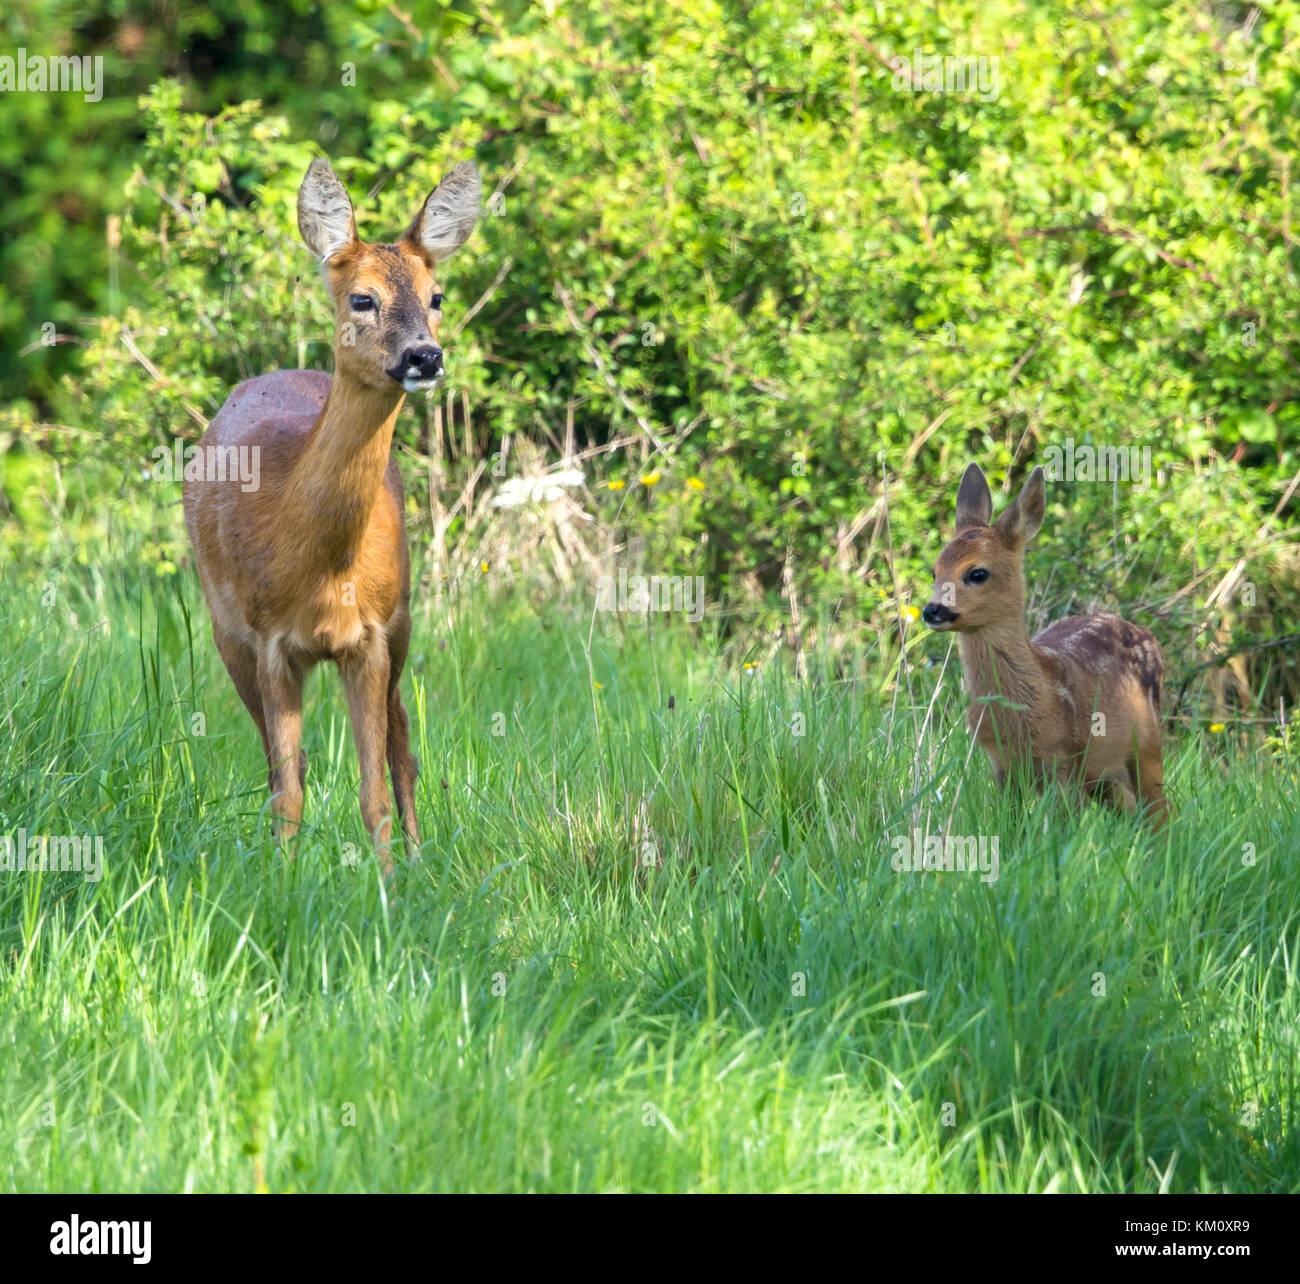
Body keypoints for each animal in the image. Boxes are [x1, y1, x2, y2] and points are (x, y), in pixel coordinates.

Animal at [183, 156, 482, 874]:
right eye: (362, 299)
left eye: (436, 297)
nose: (424, 356)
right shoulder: (266, 639)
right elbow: (289, 787)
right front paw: (285, 883)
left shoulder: (370, 635)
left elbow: (372, 786)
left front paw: (388, 882)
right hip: (224, 632)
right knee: (278, 768)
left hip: (404, 617)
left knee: (404, 747)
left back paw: (420, 856)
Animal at [921, 462, 1168, 826]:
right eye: (935, 571)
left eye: (977, 573)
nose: (932, 610)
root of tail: (1148, 634)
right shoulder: (1001, 764)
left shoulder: (1065, 761)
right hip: (1105, 775)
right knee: (1130, 809)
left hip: (1147, 743)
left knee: (1162, 812)